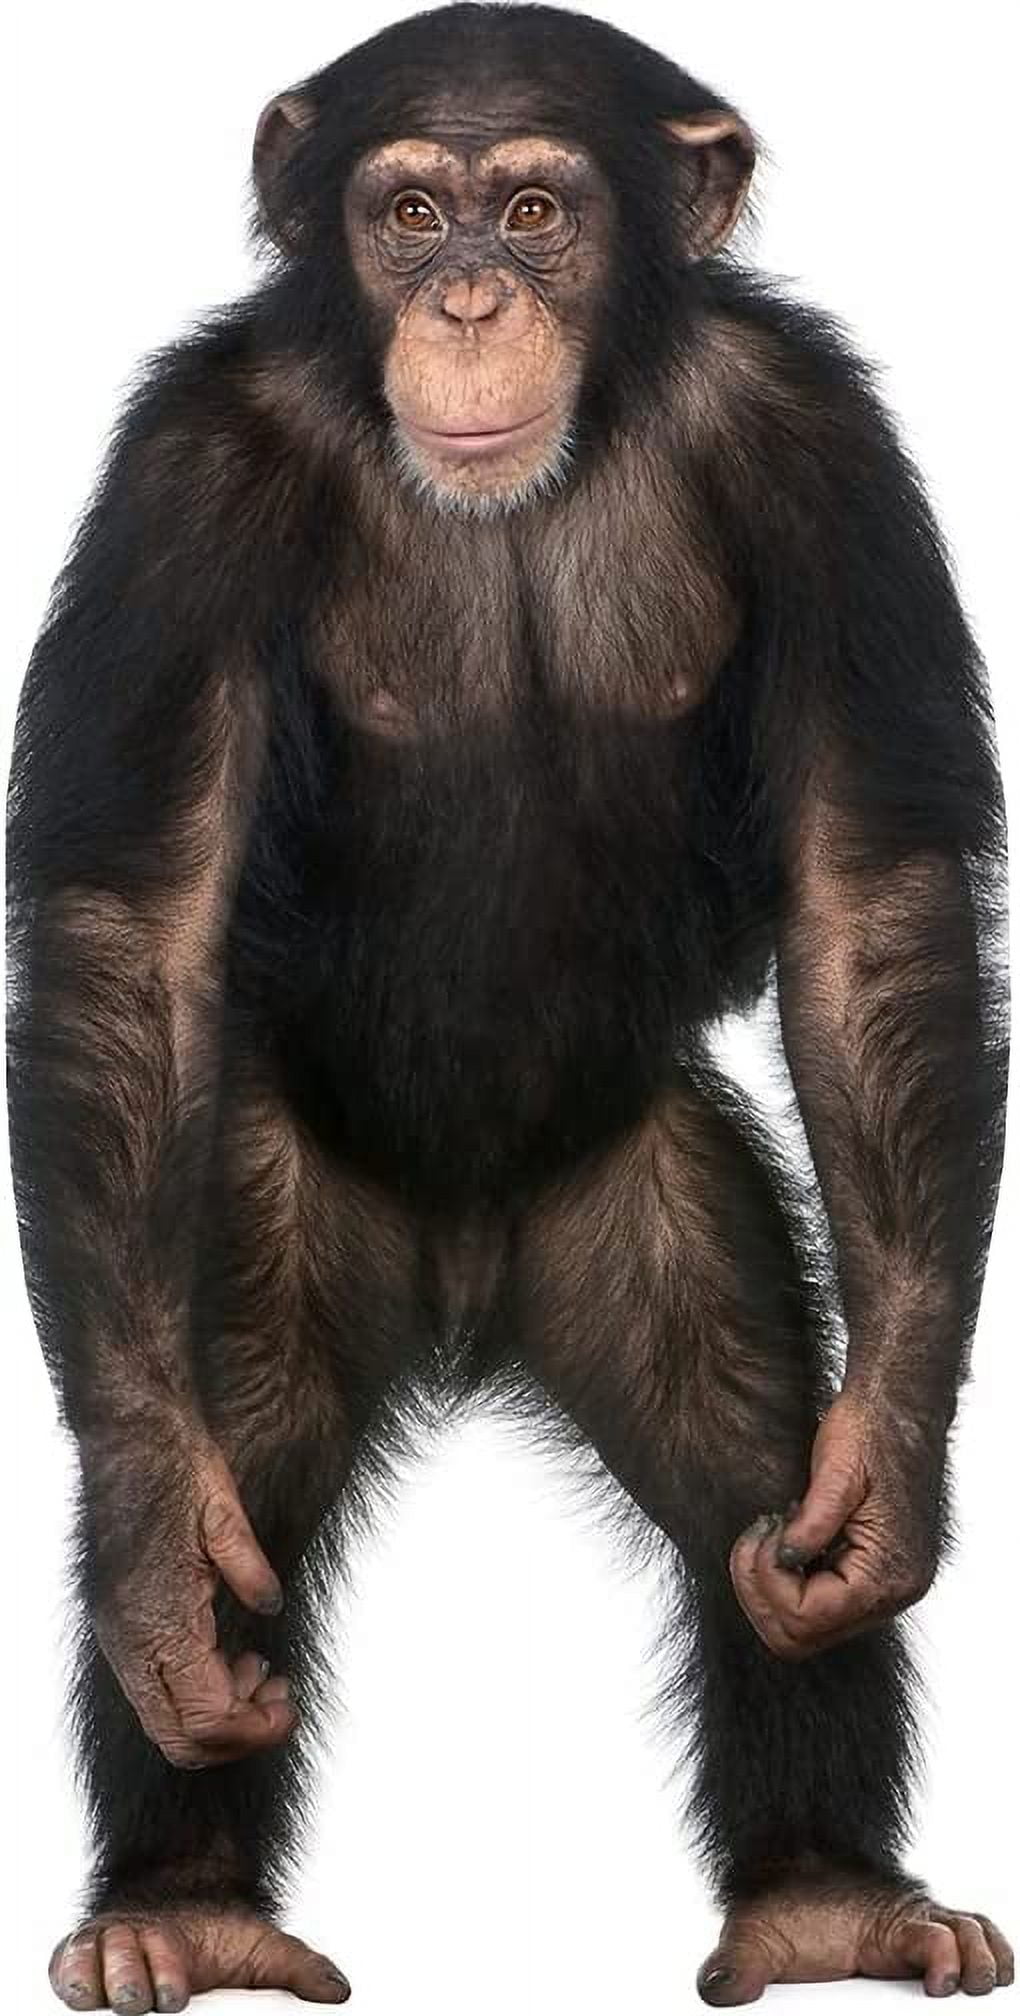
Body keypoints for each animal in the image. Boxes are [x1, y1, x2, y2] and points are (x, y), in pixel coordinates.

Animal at [7, 5, 1011, 2009]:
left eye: (536, 209)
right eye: (408, 214)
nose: (468, 295)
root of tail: (469, 1301)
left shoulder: (820, 442)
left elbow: (871, 893)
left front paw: (891, 1482)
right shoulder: (182, 478)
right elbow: (130, 928)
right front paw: (155, 1566)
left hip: (646, 1196)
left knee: (740, 1459)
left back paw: (825, 1889)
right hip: (269, 1221)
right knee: (249, 1456)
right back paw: (181, 1903)